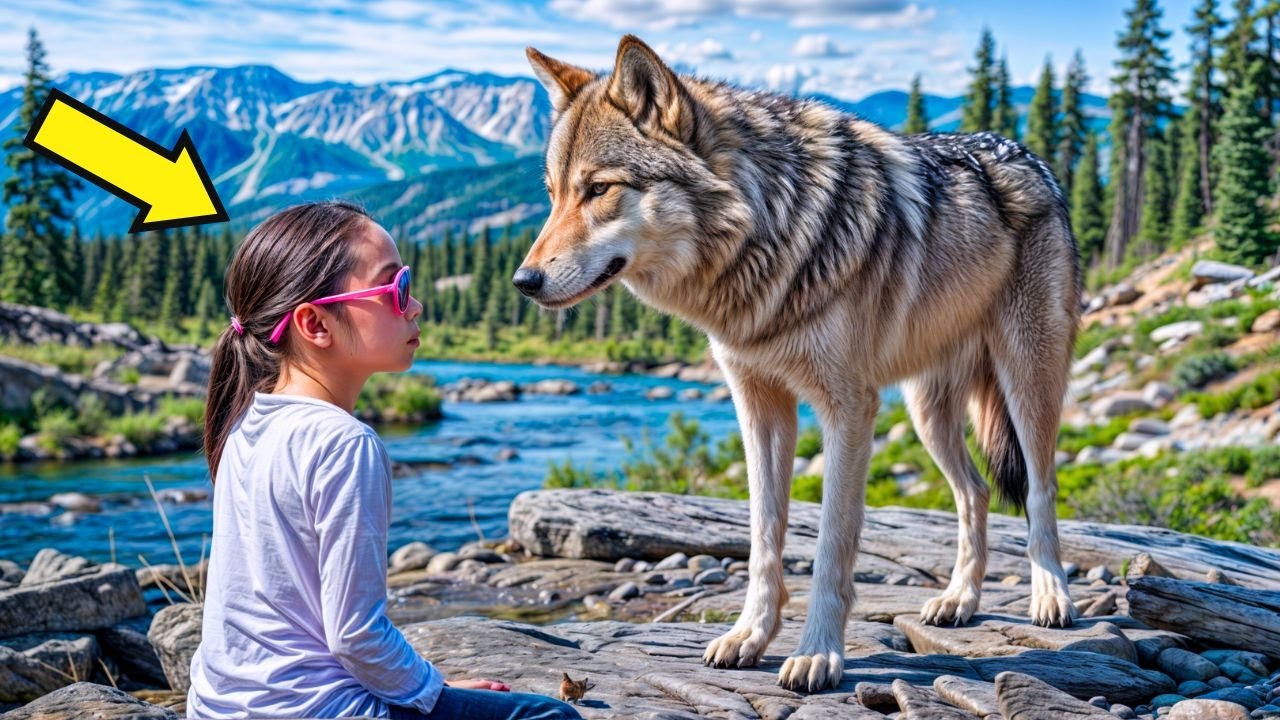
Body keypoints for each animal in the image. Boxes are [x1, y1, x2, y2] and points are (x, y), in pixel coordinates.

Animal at [515, 35, 1081, 692]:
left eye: (599, 189)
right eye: (553, 193)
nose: (523, 281)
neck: (769, 230)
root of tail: (1031, 157)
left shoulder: (849, 411)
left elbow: (833, 545)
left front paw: (818, 655)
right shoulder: (759, 408)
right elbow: (764, 538)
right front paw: (749, 637)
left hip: (1026, 383)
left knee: (1040, 488)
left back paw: (1051, 596)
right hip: (928, 415)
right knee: (977, 492)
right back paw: (959, 600)